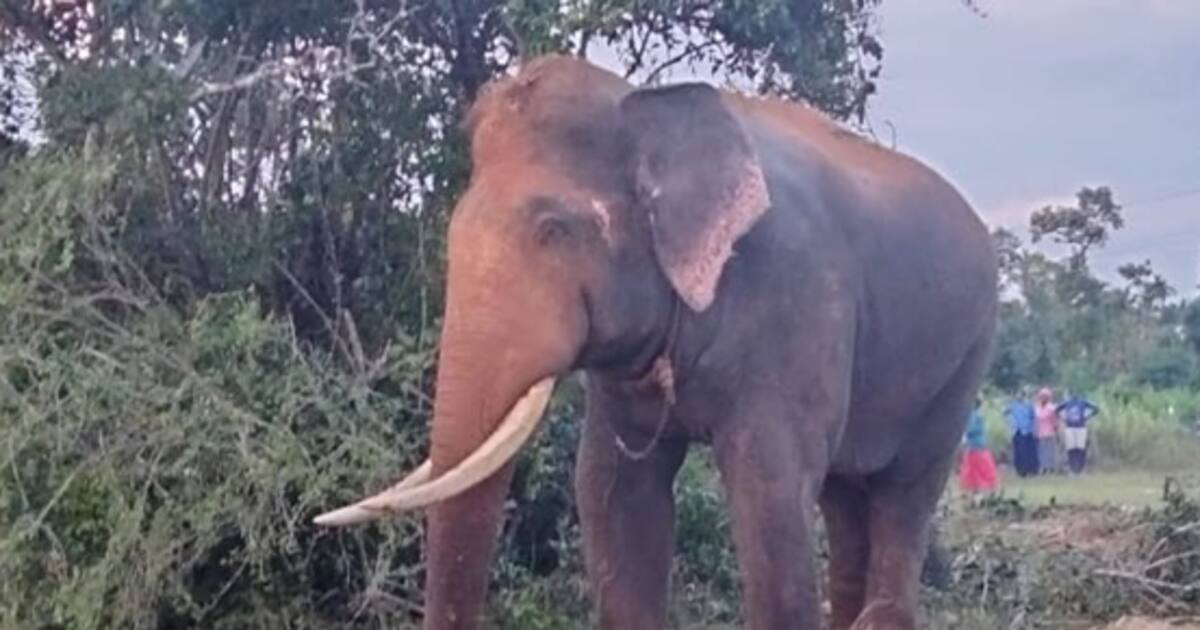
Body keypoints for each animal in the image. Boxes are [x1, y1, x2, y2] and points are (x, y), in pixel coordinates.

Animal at [315, 55, 997, 630]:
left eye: (553, 231)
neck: (648, 107)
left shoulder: (798, 302)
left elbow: (770, 496)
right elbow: (613, 493)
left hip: (965, 360)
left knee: (902, 498)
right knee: (845, 499)